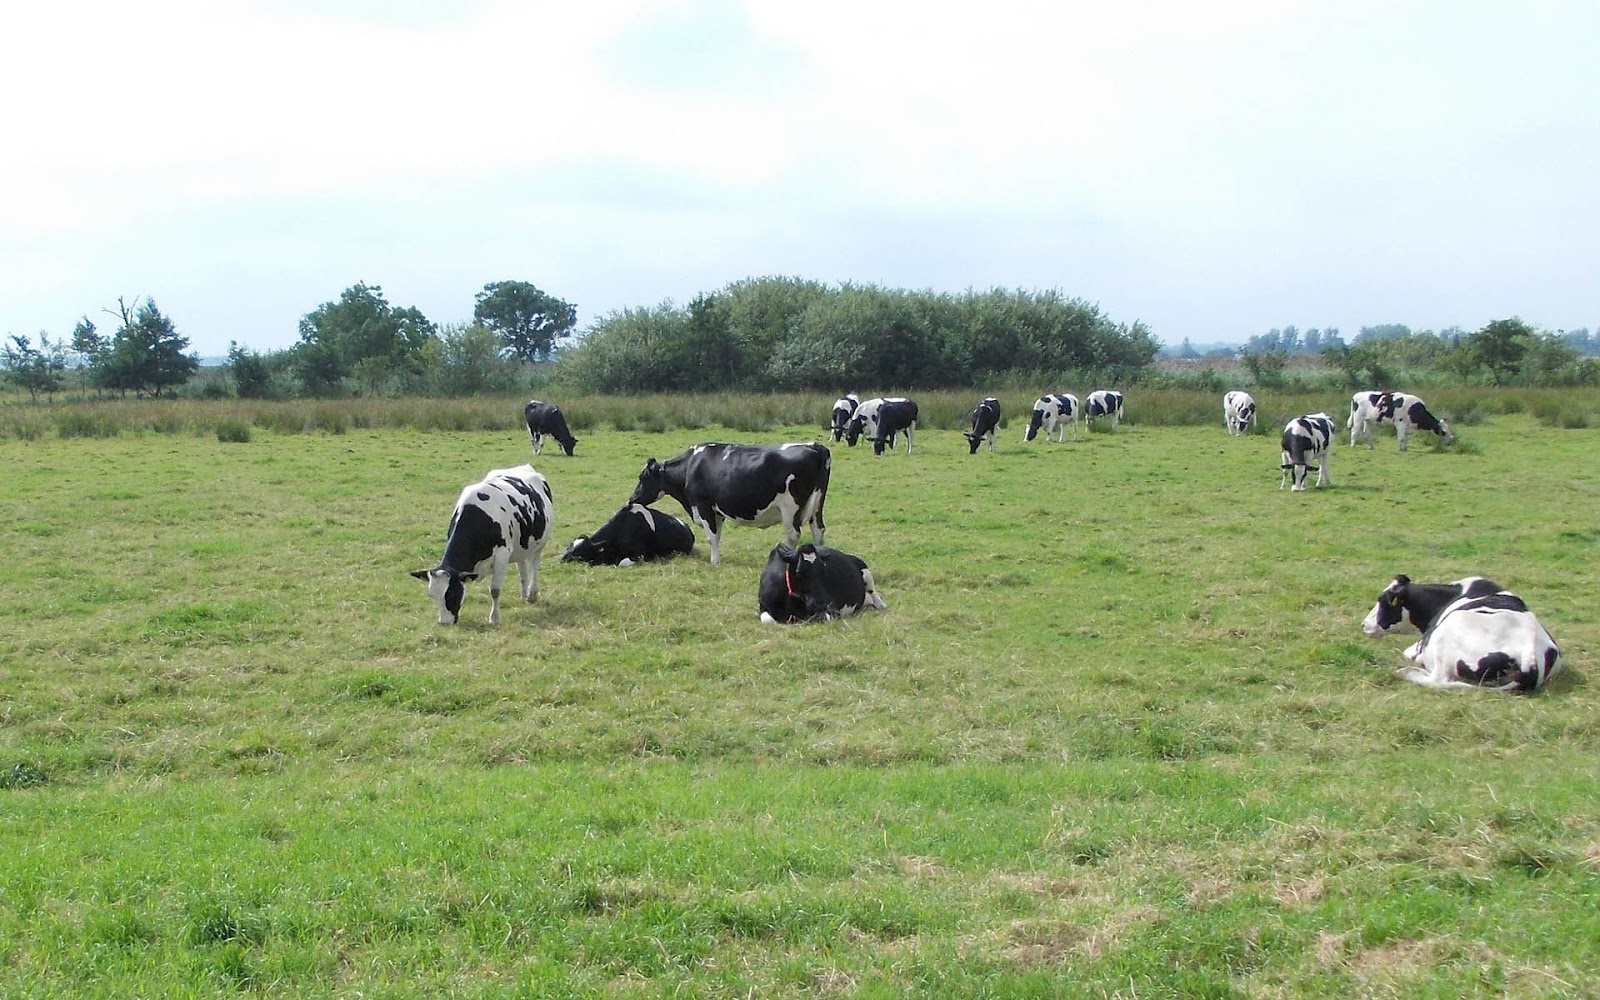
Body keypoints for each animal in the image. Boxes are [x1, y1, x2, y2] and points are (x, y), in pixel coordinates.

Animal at [410, 464, 553, 625]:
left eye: (452, 594)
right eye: (431, 595)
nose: (444, 623)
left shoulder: (502, 554)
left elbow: (495, 590)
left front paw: (494, 618)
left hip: (540, 543)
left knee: (534, 566)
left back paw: (532, 594)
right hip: (520, 545)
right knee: (522, 567)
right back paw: (523, 596)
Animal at [628, 442, 830, 565]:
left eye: (642, 478)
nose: (631, 499)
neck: (689, 467)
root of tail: (815, 446)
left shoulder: (703, 506)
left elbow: (711, 537)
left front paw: (714, 562)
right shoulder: (717, 511)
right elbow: (717, 535)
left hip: (790, 508)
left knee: (793, 534)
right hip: (817, 506)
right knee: (818, 530)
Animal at [758, 543, 888, 624]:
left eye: (823, 569)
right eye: (799, 572)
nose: (822, 603)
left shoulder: (832, 609)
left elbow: (822, 617)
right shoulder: (763, 606)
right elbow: (768, 620)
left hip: (865, 570)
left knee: (873, 592)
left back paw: (880, 605)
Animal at [1361, 574, 1563, 692]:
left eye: (1382, 601)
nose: (1364, 624)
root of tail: (1530, 657)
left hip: (1447, 634)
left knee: (1438, 680)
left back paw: (1407, 672)